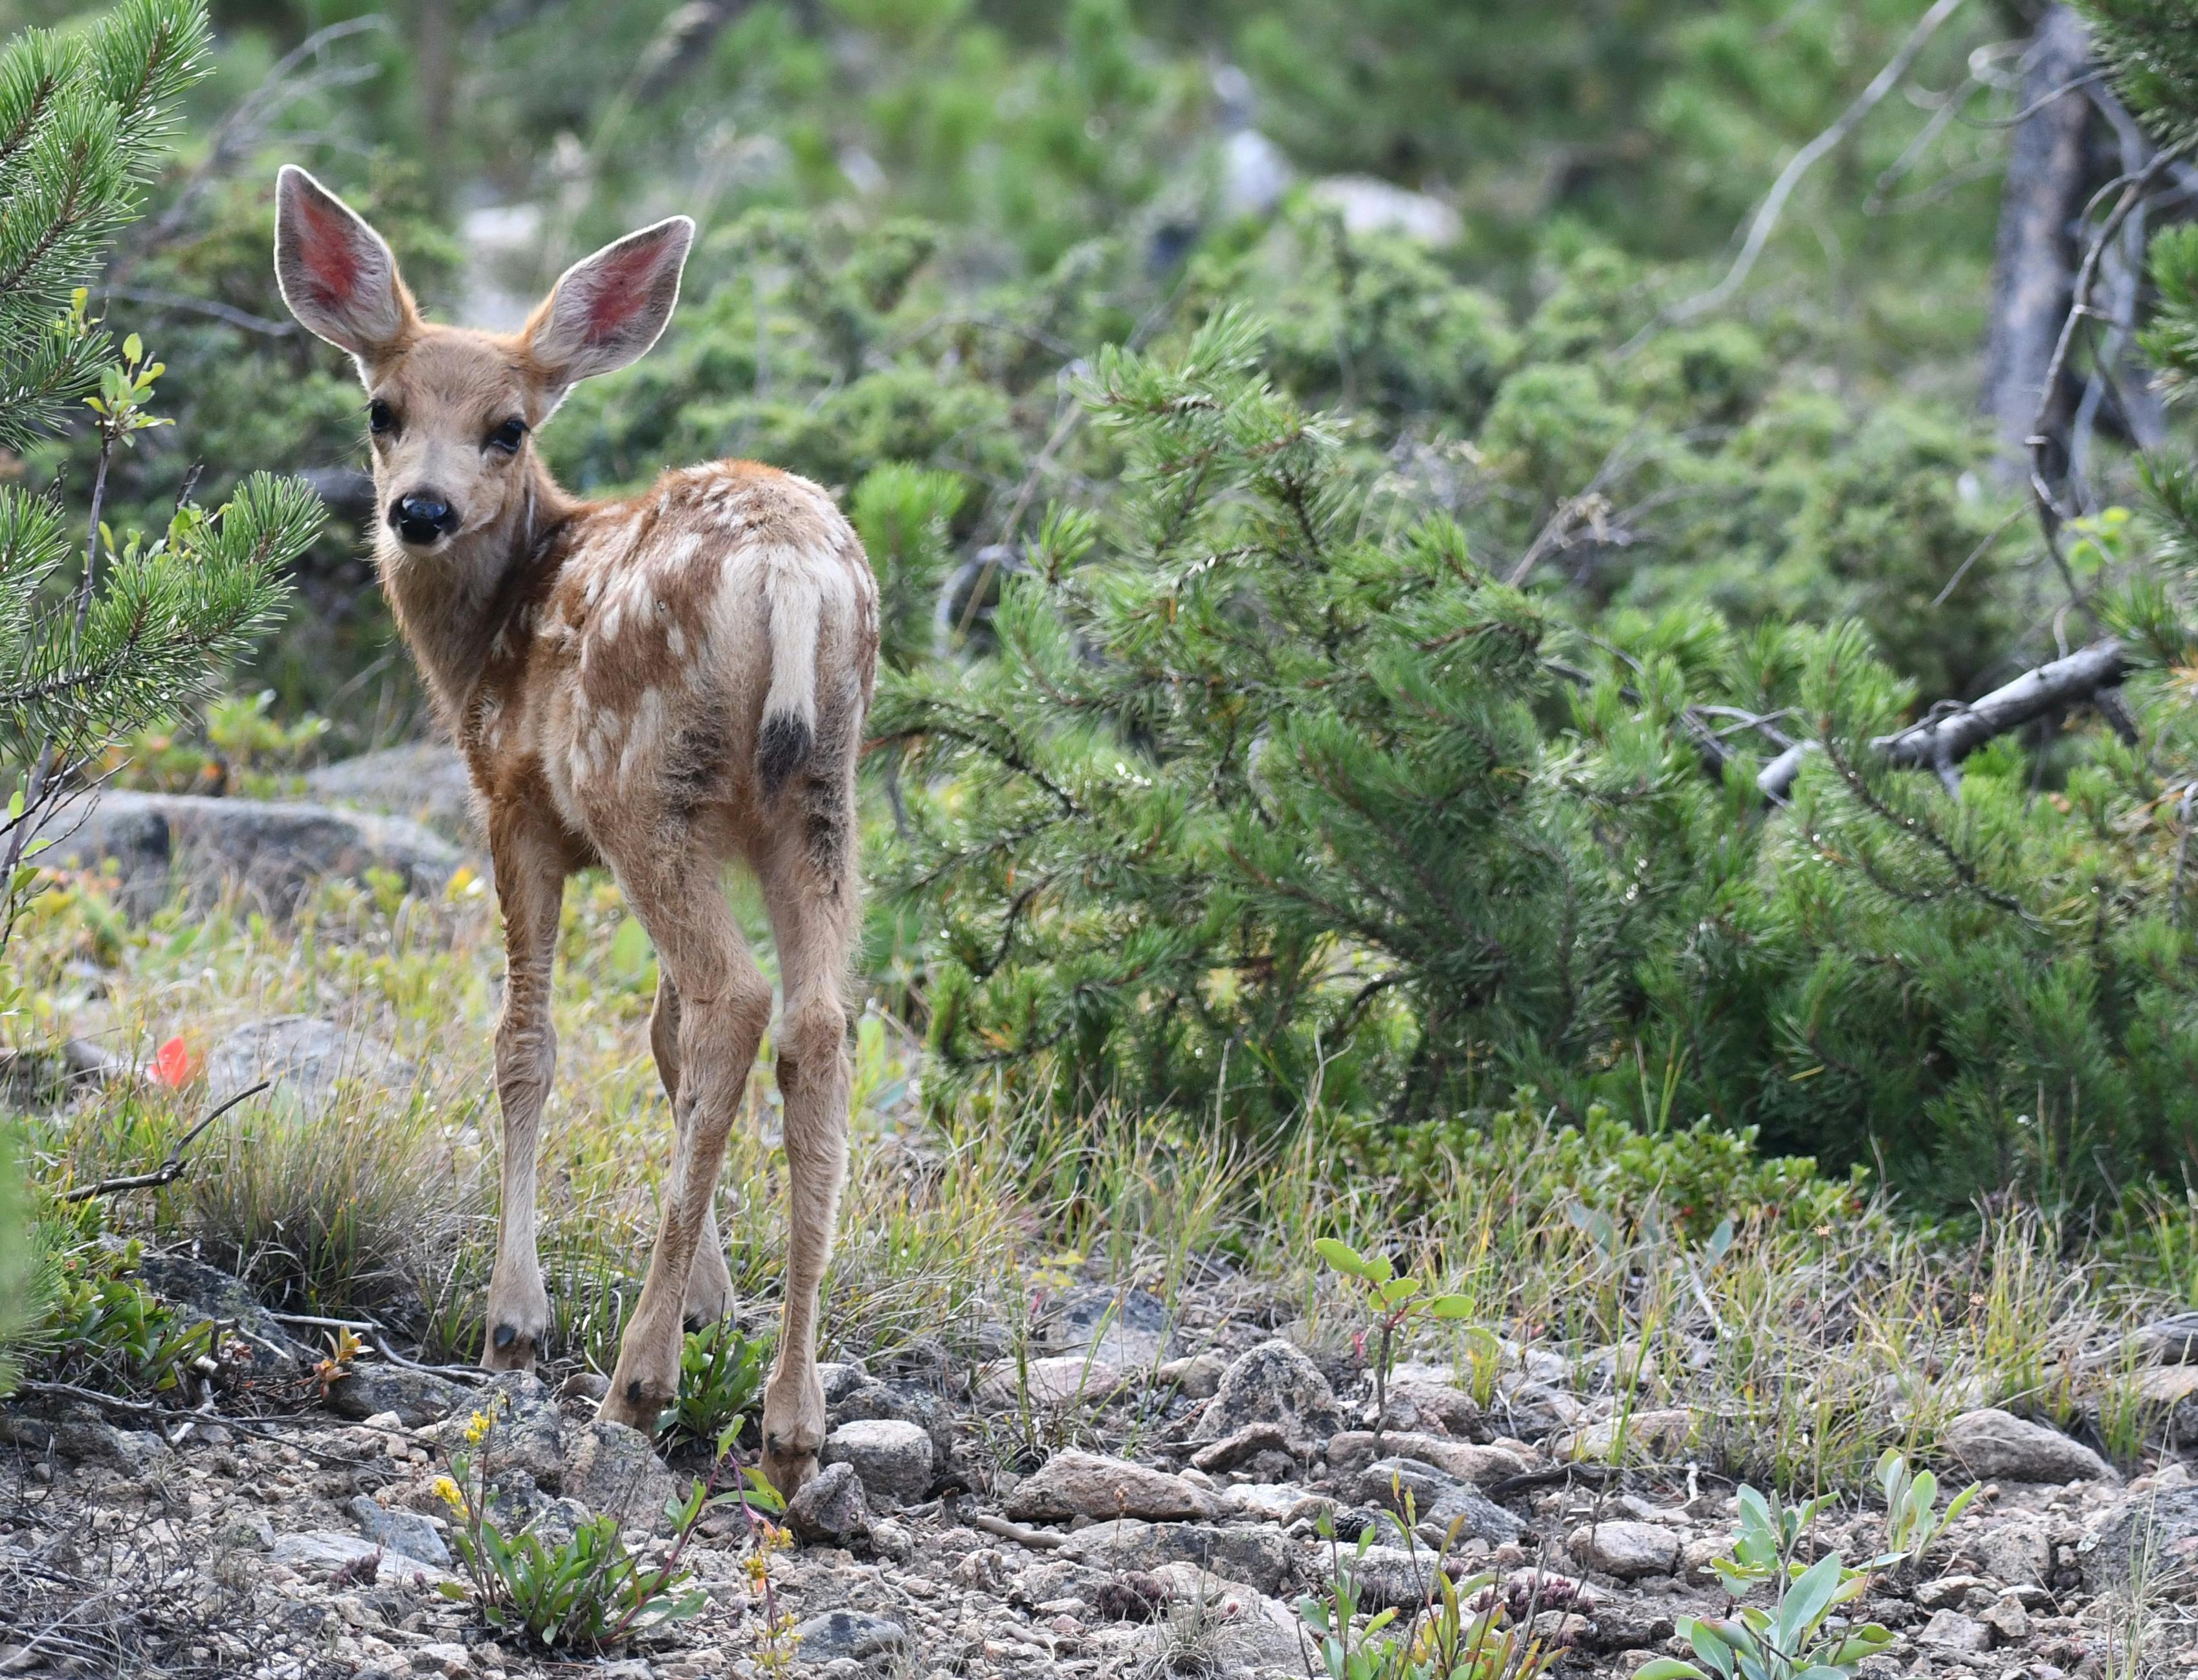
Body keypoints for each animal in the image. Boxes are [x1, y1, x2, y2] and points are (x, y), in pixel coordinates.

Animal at [271, 165, 877, 1497]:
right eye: (385, 407)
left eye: (510, 426)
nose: (420, 509)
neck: (490, 633)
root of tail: (793, 577)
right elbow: (659, 1044)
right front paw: (712, 1303)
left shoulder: (518, 808)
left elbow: (527, 1045)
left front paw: (516, 1320)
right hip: (818, 798)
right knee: (811, 1023)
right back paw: (791, 1418)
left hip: (640, 782)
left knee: (737, 1000)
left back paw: (635, 1384)